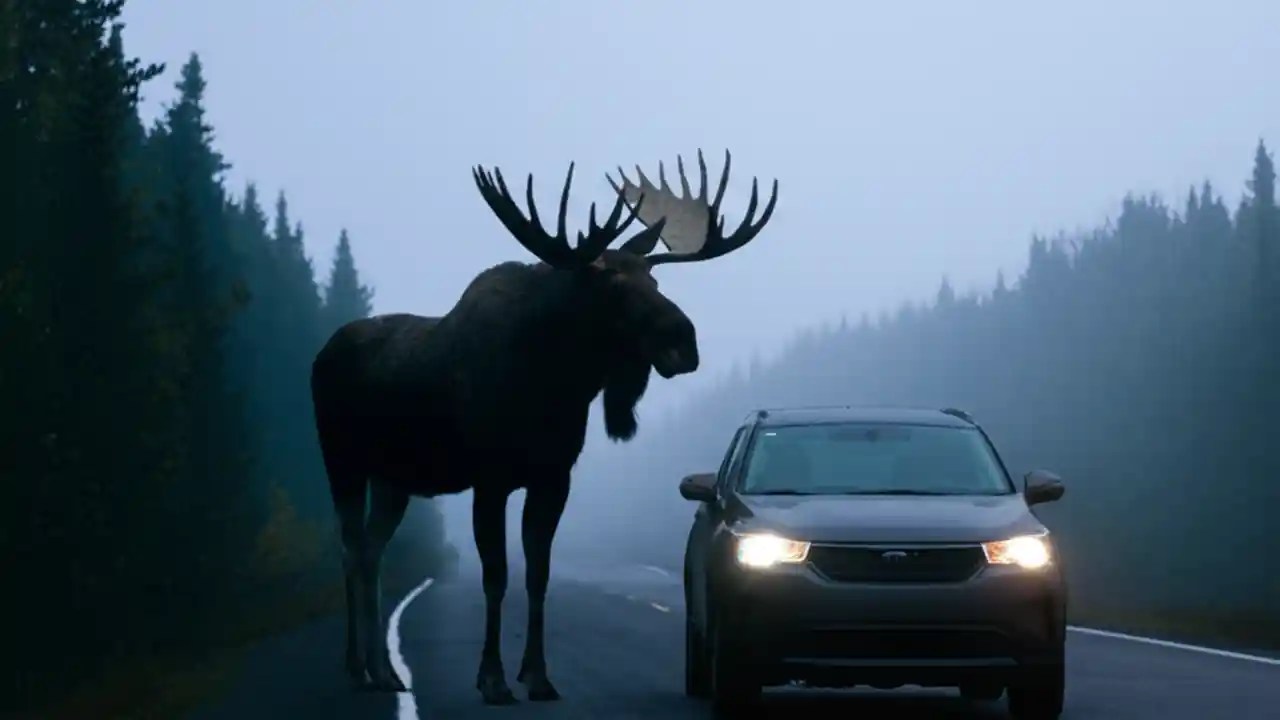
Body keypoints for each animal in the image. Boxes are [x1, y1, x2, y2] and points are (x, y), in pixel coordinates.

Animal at [309, 149, 778, 704]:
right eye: (613, 286)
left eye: (656, 281)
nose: (684, 341)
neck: (554, 386)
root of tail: (322, 353)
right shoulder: (489, 479)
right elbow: (496, 575)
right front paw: (492, 679)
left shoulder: (554, 477)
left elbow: (538, 575)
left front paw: (537, 675)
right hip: (341, 461)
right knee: (349, 549)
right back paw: (356, 667)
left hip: (392, 480)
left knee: (371, 551)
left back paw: (383, 670)